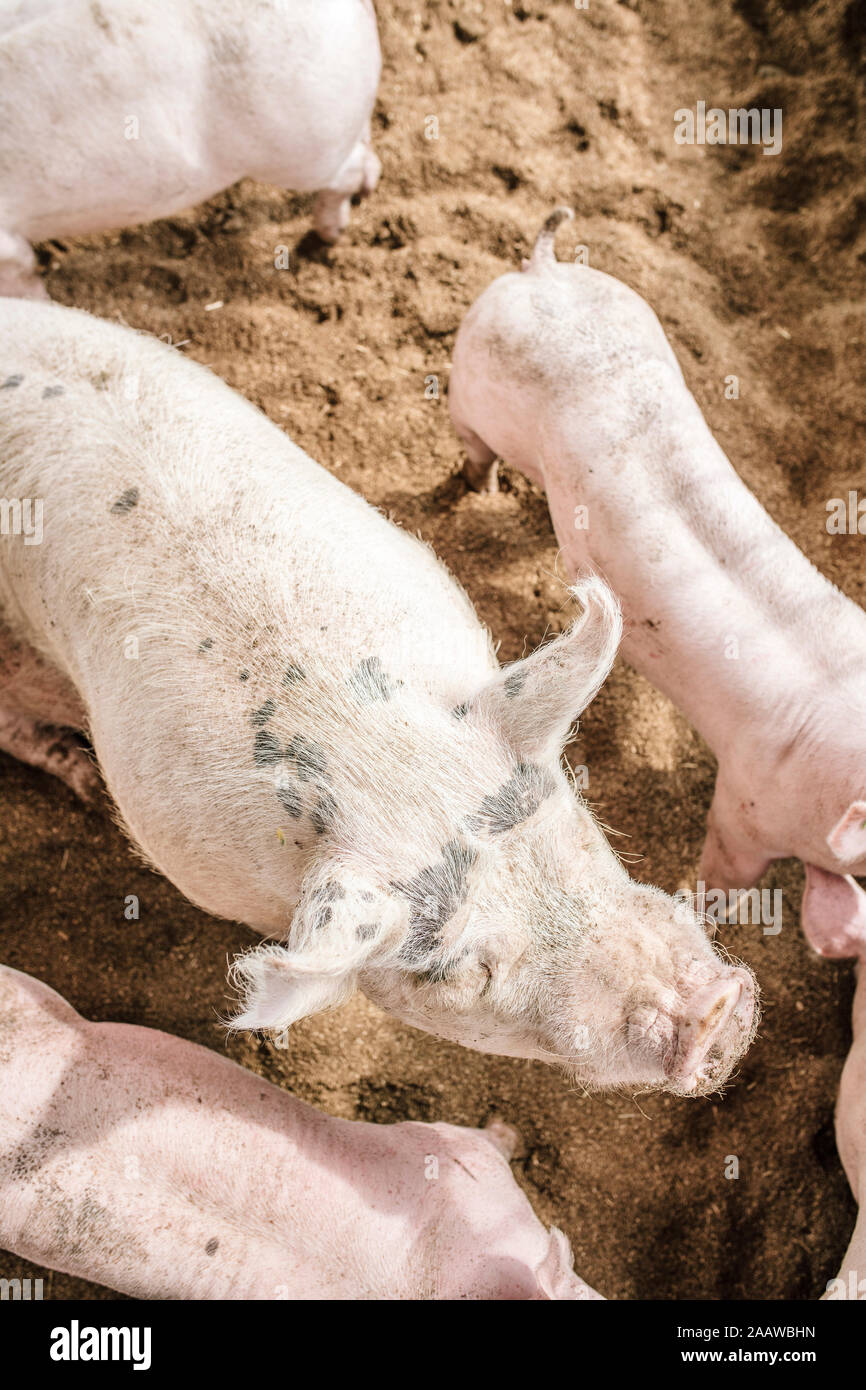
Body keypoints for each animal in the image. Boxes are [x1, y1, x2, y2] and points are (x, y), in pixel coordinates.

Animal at [449, 207, 866, 946]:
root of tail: (543, 268)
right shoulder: (748, 802)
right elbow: (727, 868)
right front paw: (705, 912)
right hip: (472, 384)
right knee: (469, 440)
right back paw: (476, 488)